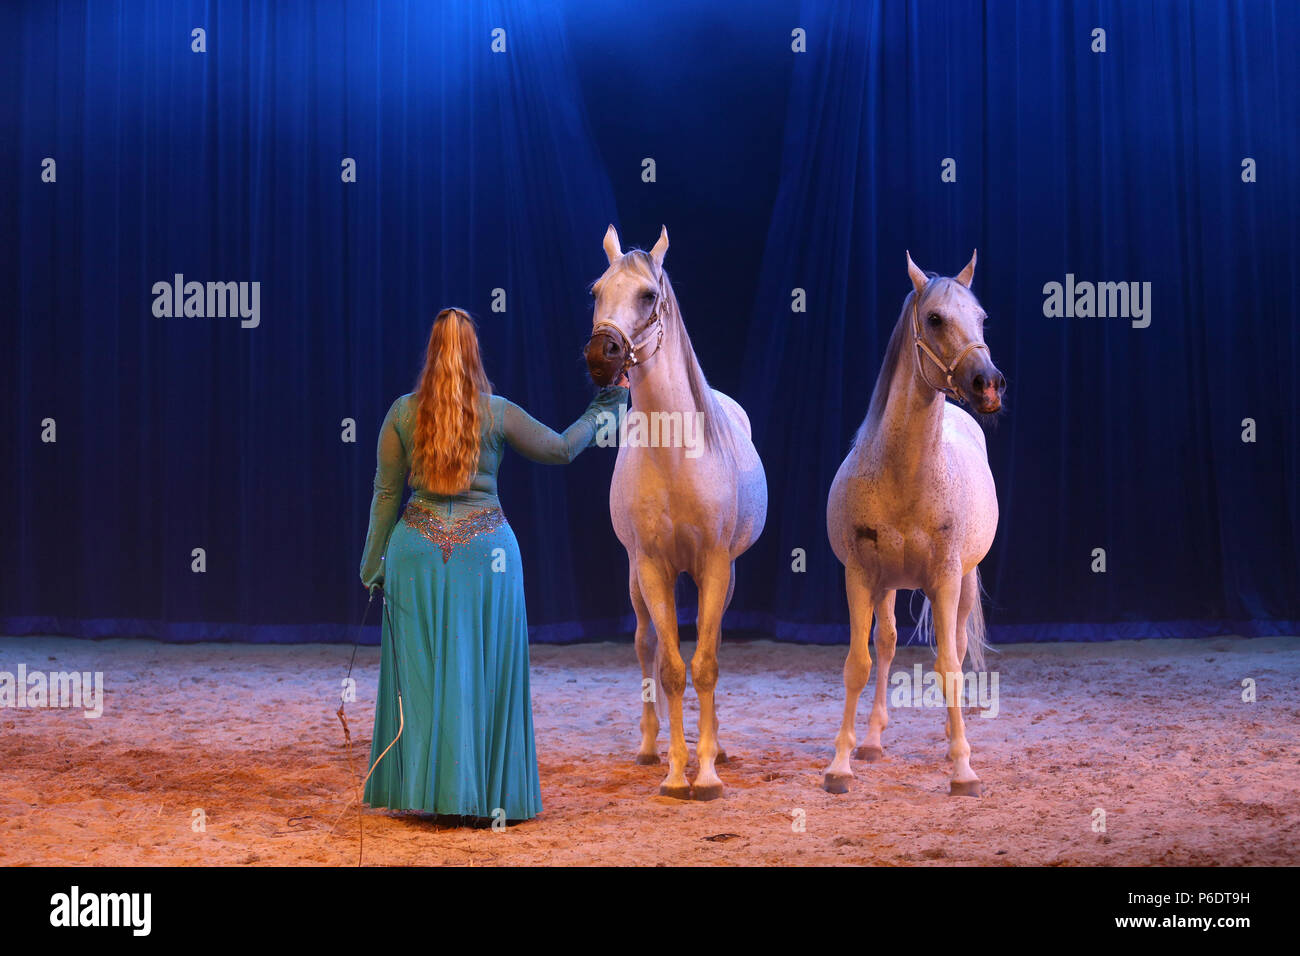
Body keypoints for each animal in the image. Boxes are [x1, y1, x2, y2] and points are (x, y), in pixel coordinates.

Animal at [584, 225, 768, 800]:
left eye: (648, 295)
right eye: (596, 290)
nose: (601, 353)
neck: (676, 456)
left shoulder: (715, 565)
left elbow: (705, 664)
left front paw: (706, 773)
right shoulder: (651, 567)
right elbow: (669, 667)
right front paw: (675, 772)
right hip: (636, 580)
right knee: (645, 645)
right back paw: (650, 747)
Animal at [824, 250, 1005, 797]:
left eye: (982, 317)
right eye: (935, 319)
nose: (989, 384)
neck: (904, 475)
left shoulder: (945, 578)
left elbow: (948, 665)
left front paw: (963, 768)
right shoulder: (860, 577)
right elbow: (859, 664)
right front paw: (842, 762)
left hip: (962, 580)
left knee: (959, 647)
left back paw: (950, 737)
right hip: (886, 586)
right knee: (883, 647)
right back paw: (873, 739)